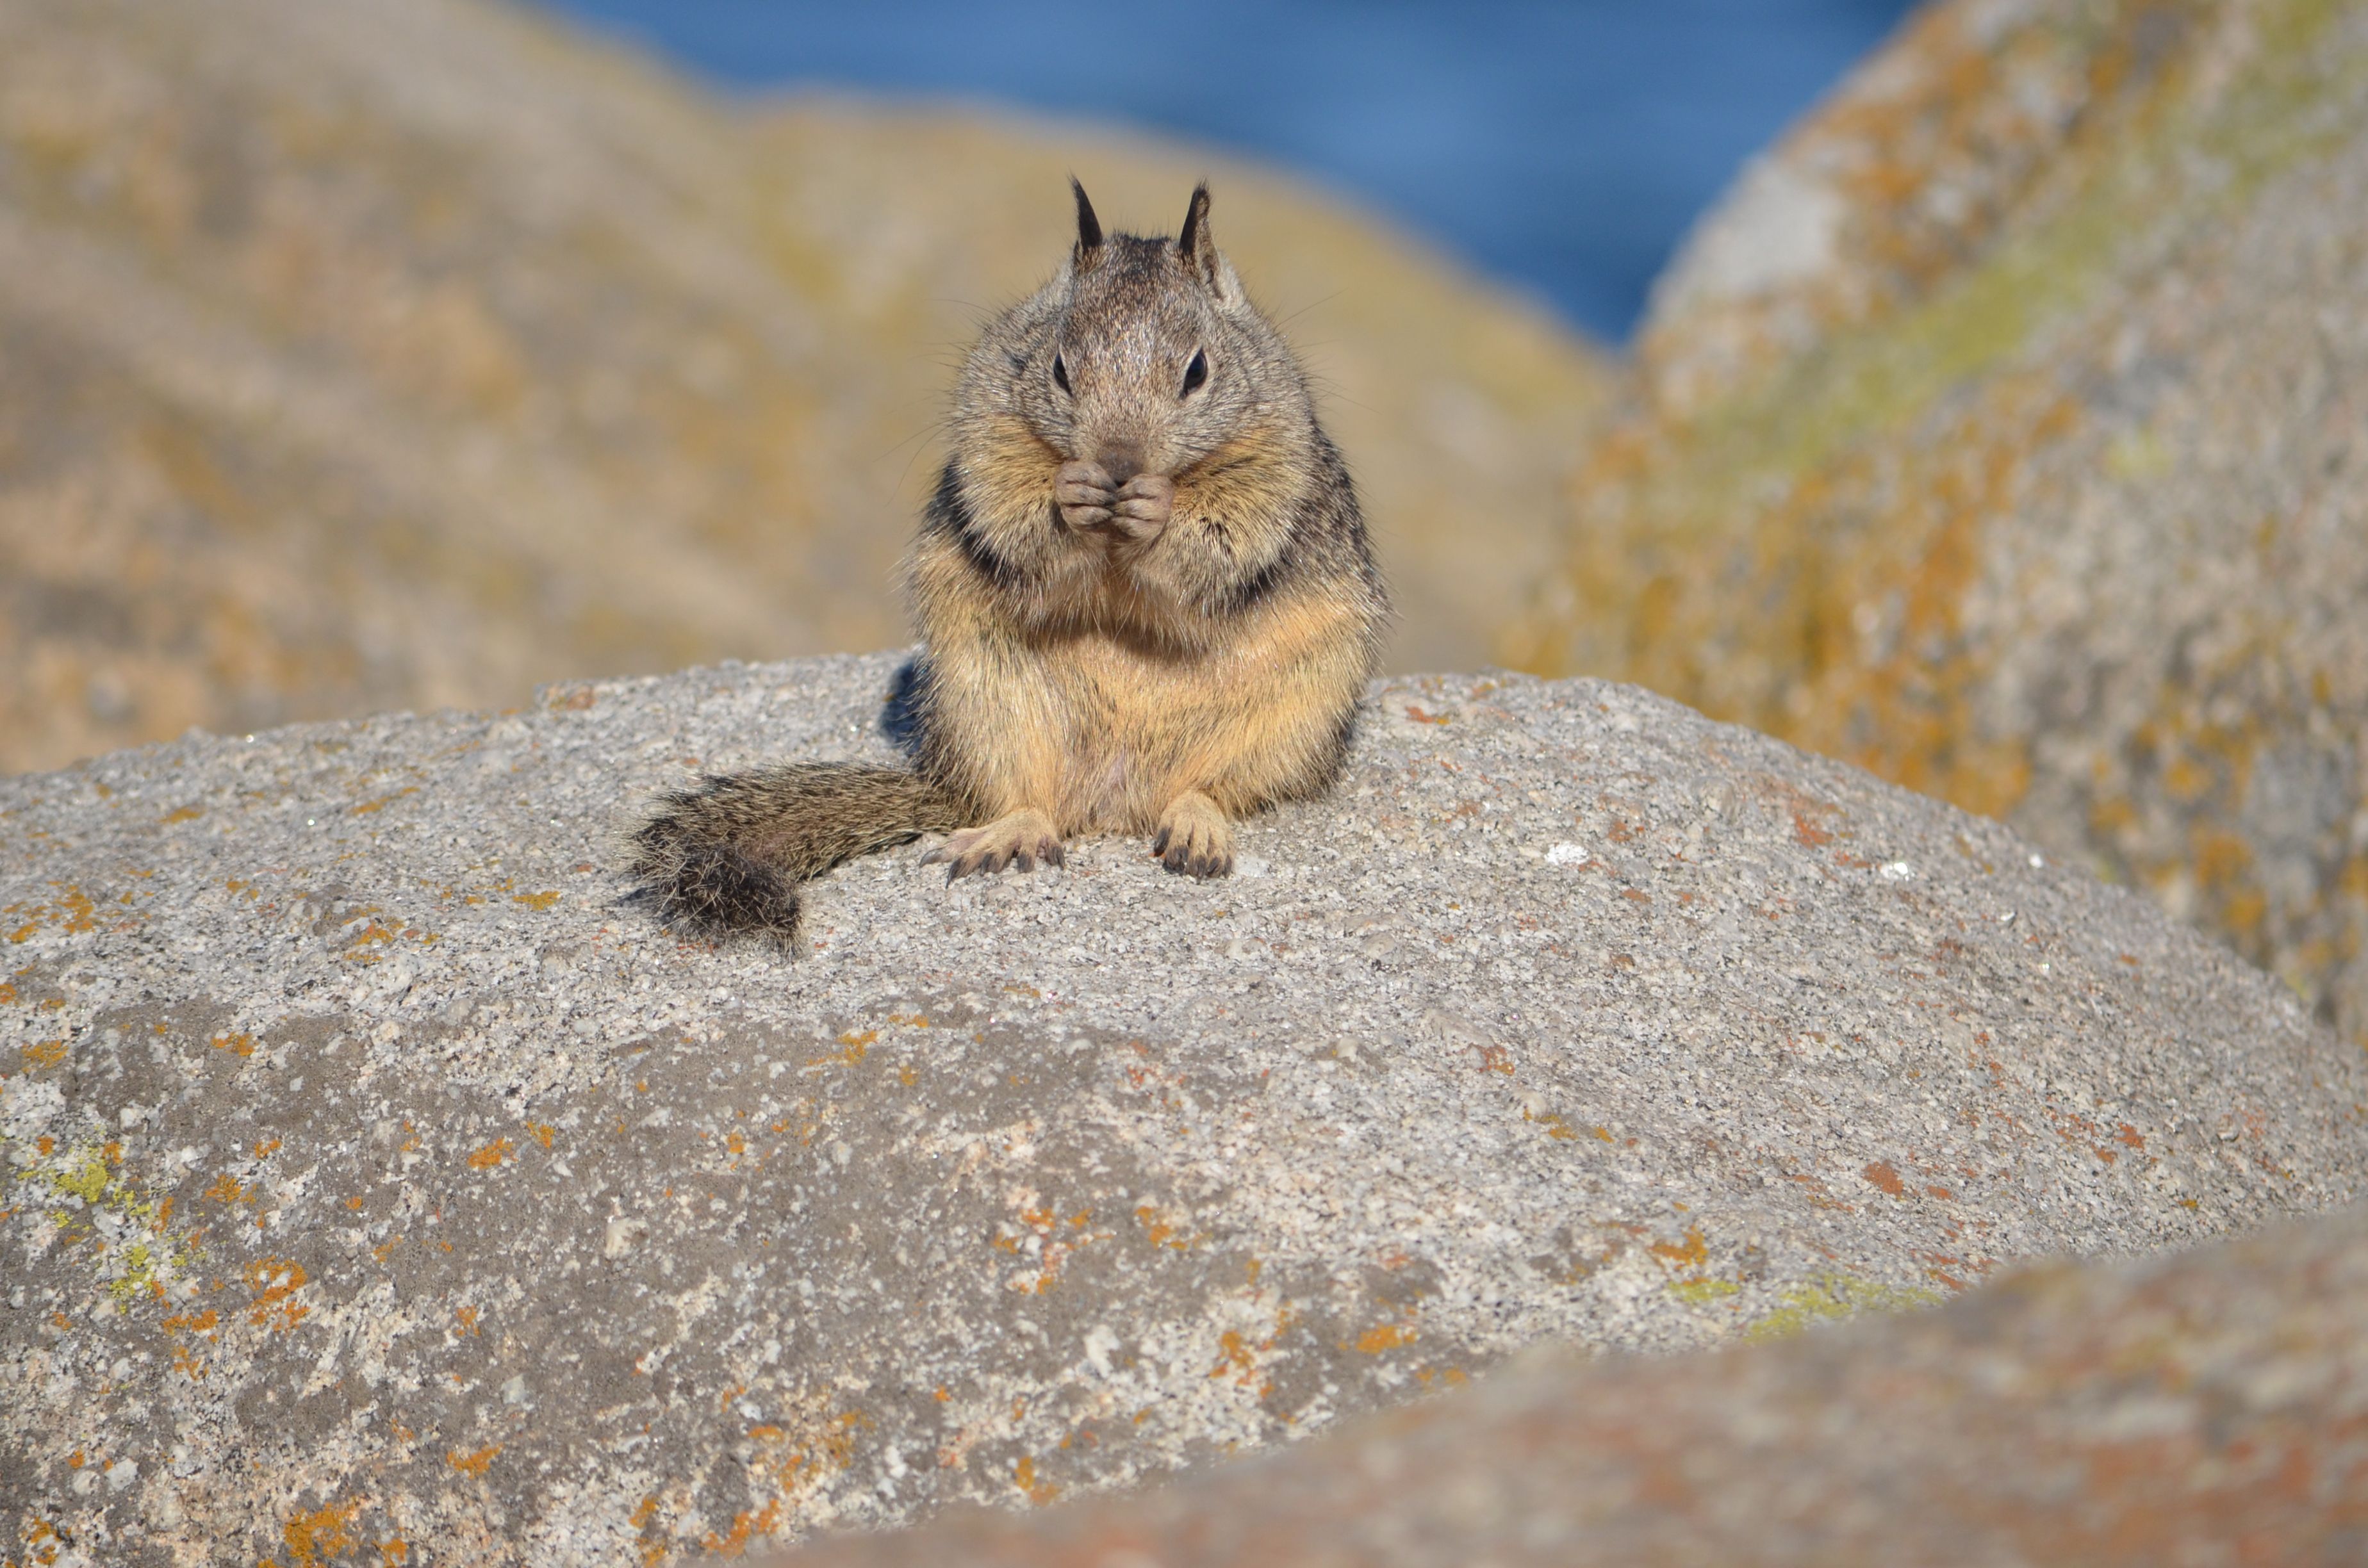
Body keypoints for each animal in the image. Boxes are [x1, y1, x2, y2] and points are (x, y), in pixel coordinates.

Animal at [629, 181, 1389, 946]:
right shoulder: (989, 427)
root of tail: (1113, 803)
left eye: (1198, 371)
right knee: (1026, 798)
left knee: (1213, 789)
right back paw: (1010, 834)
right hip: (987, 707)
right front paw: (1070, 499)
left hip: (1292, 722)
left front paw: (1156, 512)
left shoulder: (1273, 453)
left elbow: (1226, 534)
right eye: (1058, 368)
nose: (1117, 466)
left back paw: (1196, 828)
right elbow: (1011, 511)